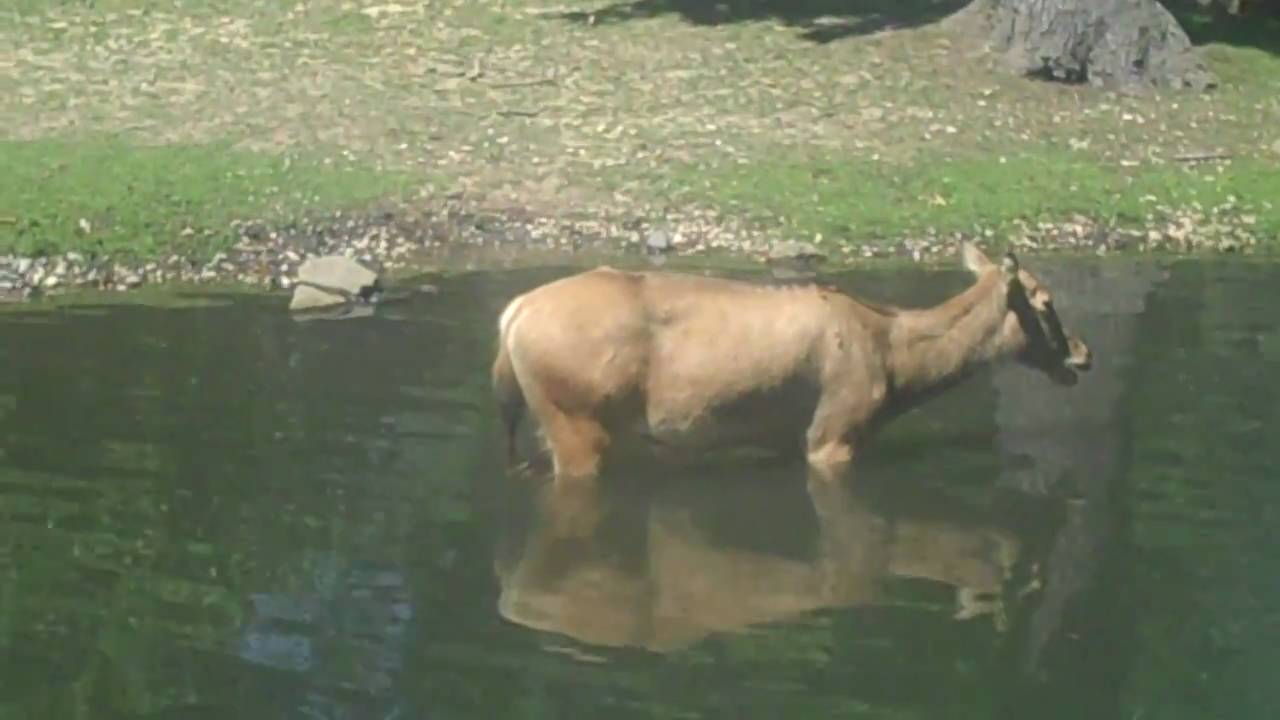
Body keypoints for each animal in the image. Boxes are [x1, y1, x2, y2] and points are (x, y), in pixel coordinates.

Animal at [491, 243, 1092, 483]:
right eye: (1045, 301)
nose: (1083, 354)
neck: (897, 366)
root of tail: (512, 316)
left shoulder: (788, 437)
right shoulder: (835, 431)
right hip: (577, 415)